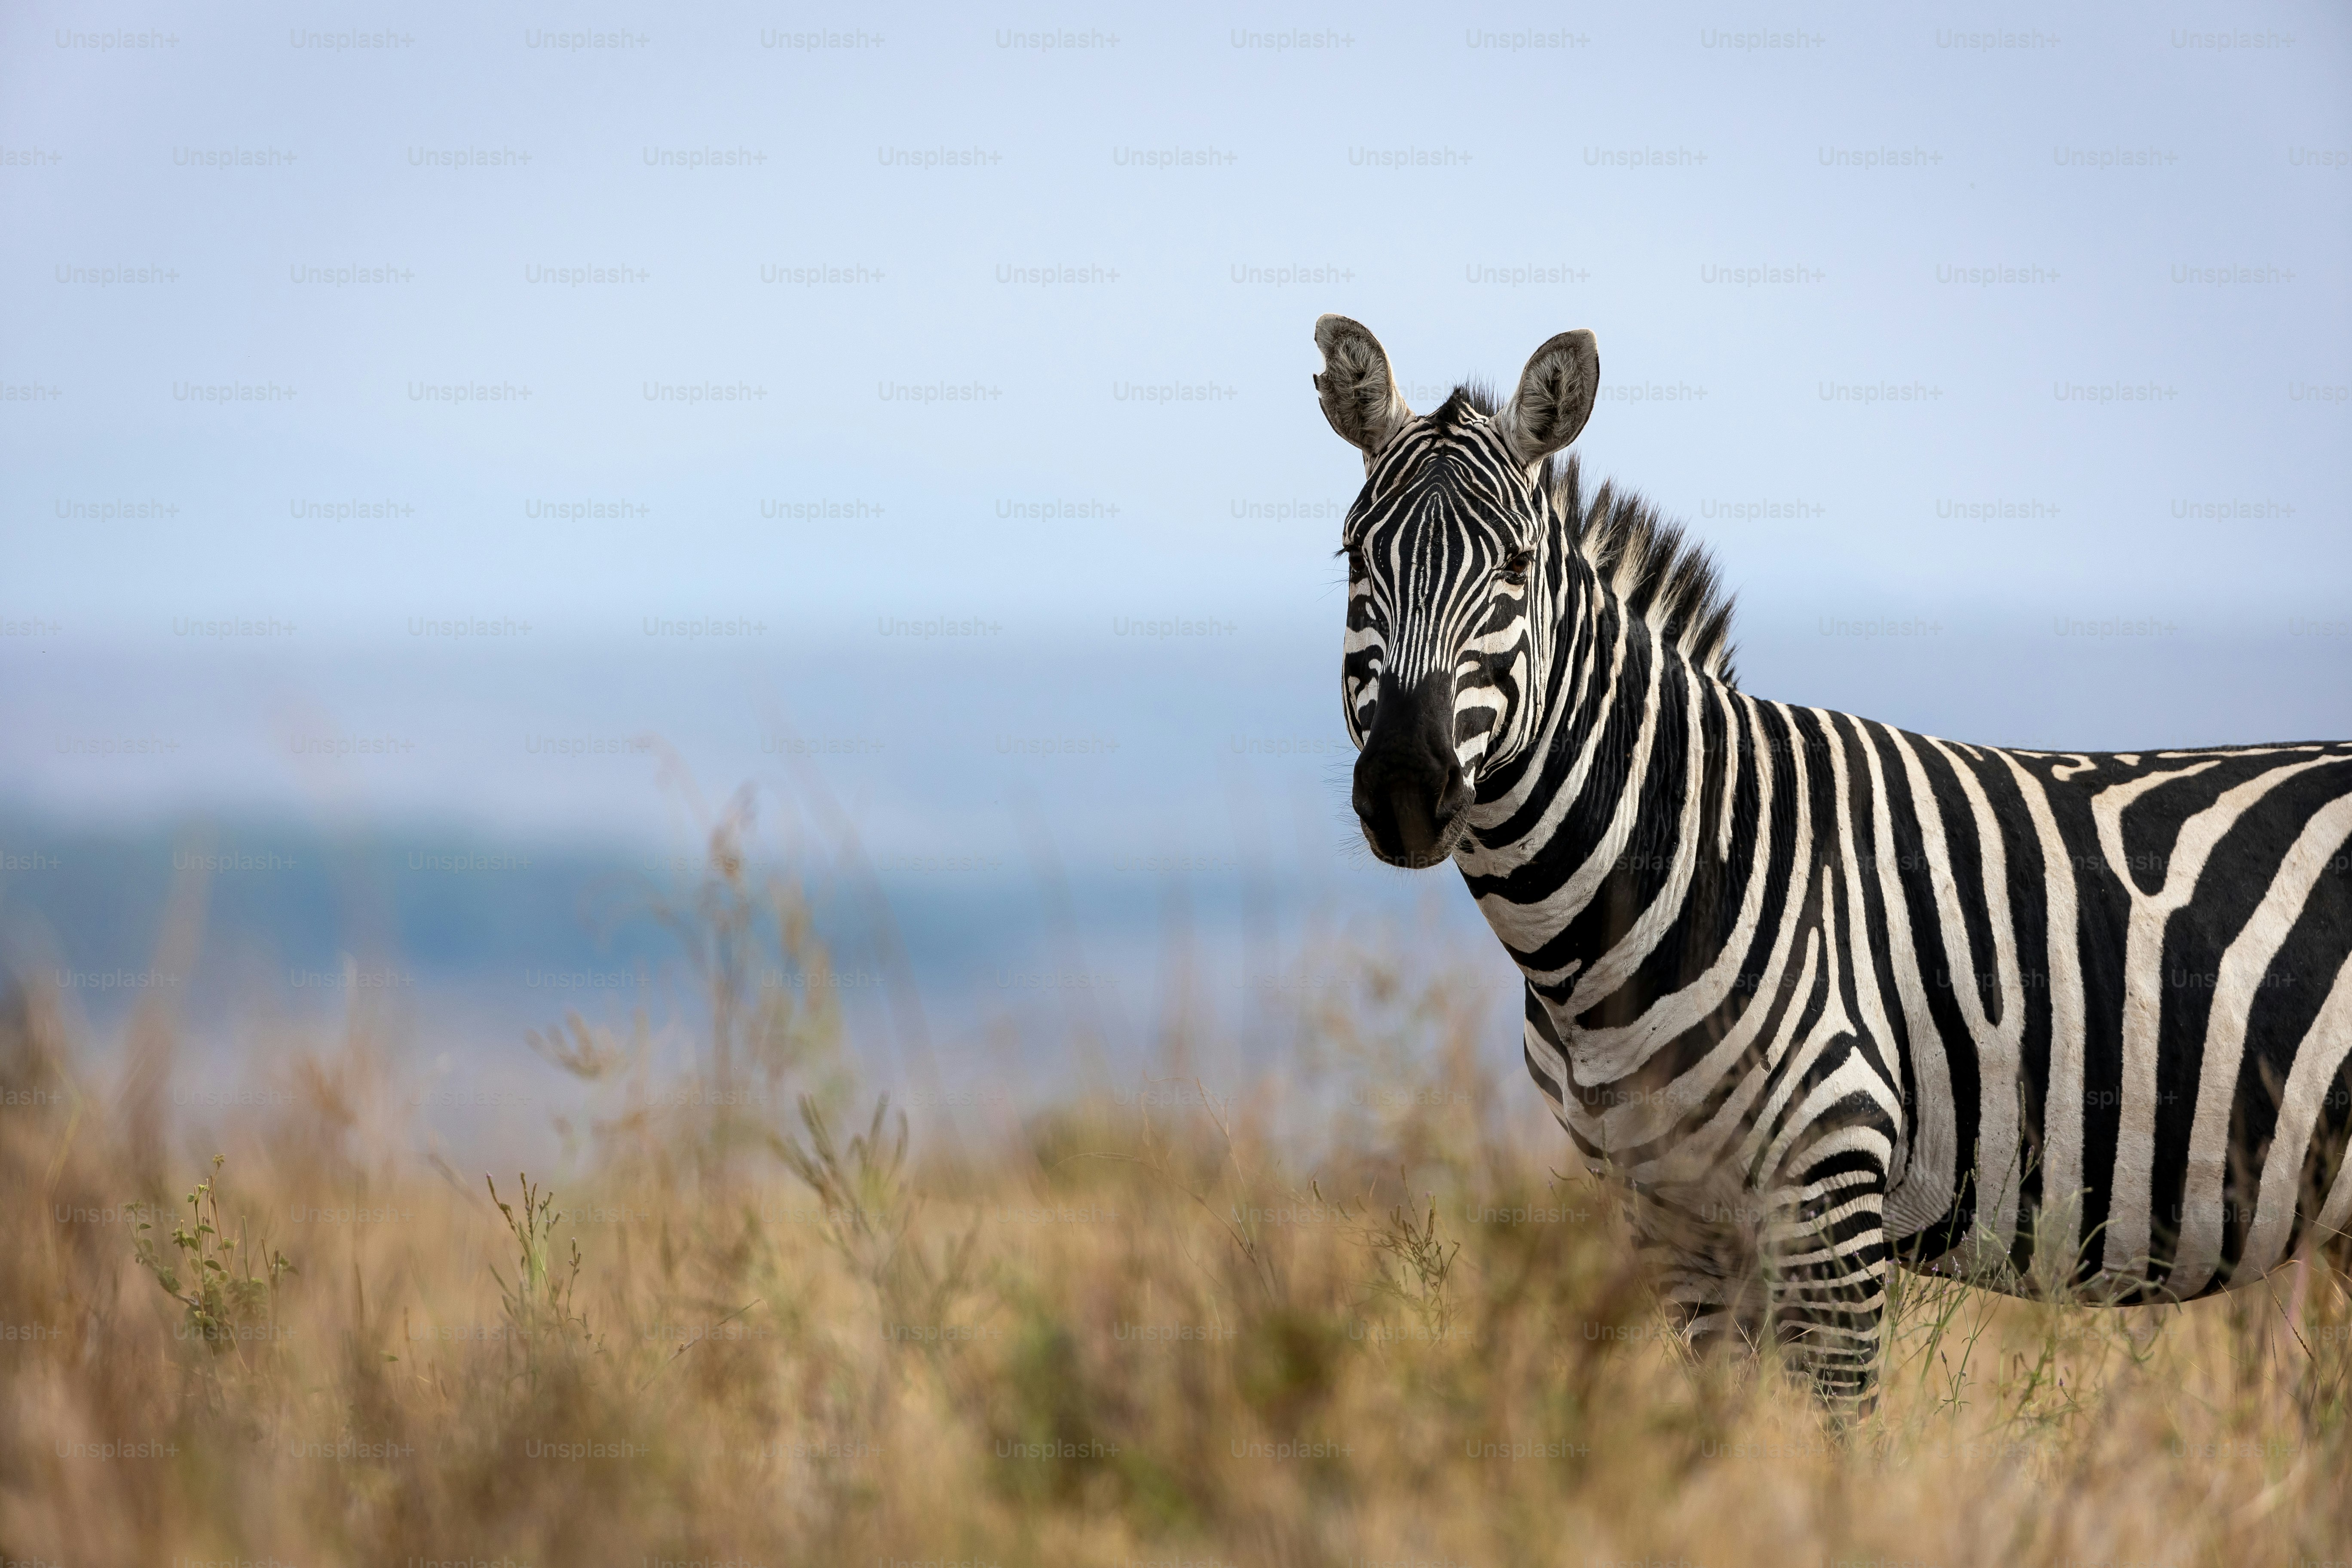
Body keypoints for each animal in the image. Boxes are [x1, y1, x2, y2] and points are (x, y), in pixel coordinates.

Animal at [1313, 313, 2352, 1406]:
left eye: (1514, 567)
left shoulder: (1832, 1190)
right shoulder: (1674, 1217)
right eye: (1354, 557)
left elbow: (1833, 1435)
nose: (1403, 788)